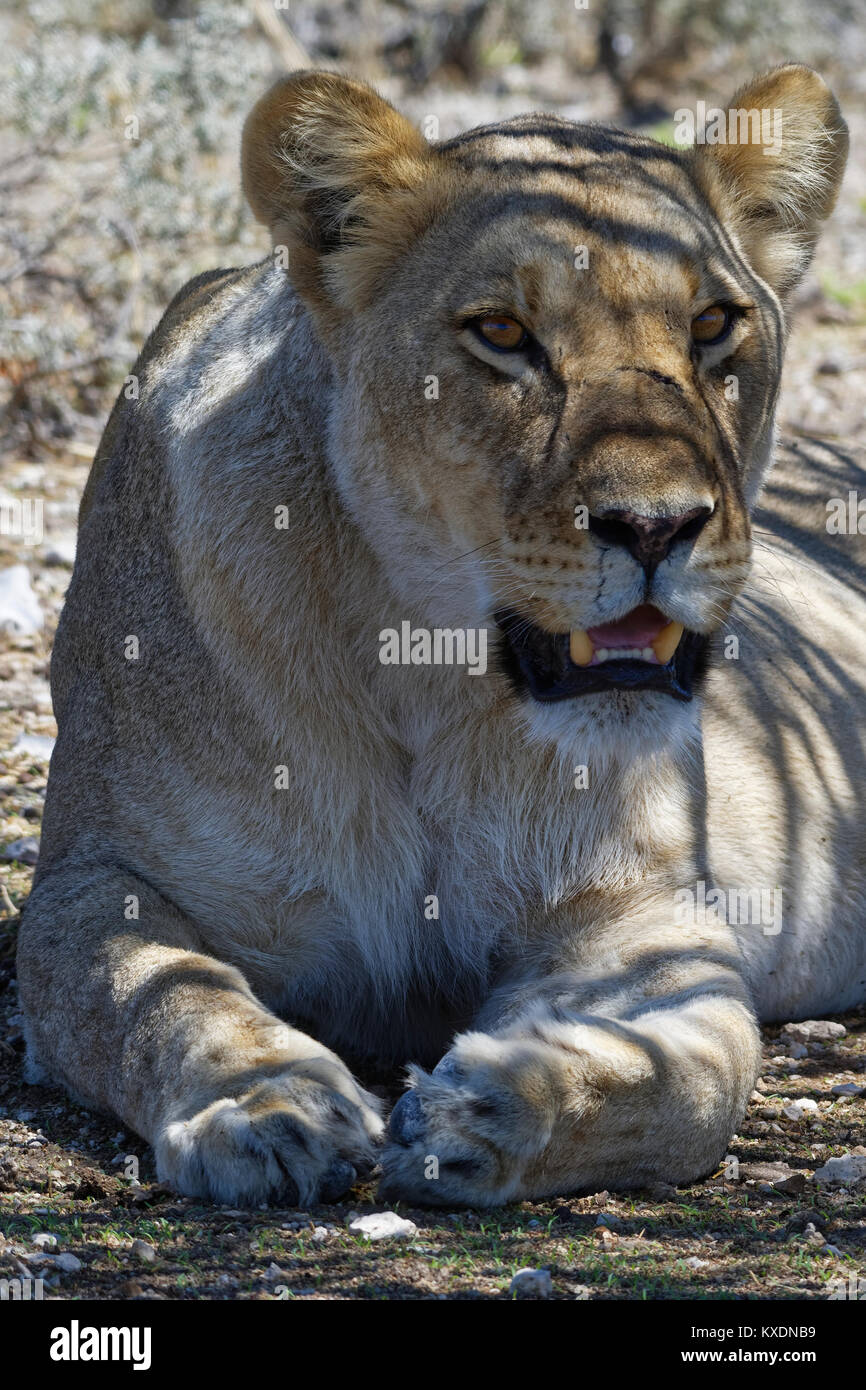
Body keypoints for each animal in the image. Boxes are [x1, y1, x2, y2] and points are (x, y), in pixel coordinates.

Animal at [16, 64, 862, 1208]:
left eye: (713, 322)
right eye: (500, 333)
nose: (657, 526)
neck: (424, 669)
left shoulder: (639, 907)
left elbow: (692, 1081)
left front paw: (492, 1111)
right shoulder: (93, 877)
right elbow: (155, 992)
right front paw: (261, 1105)